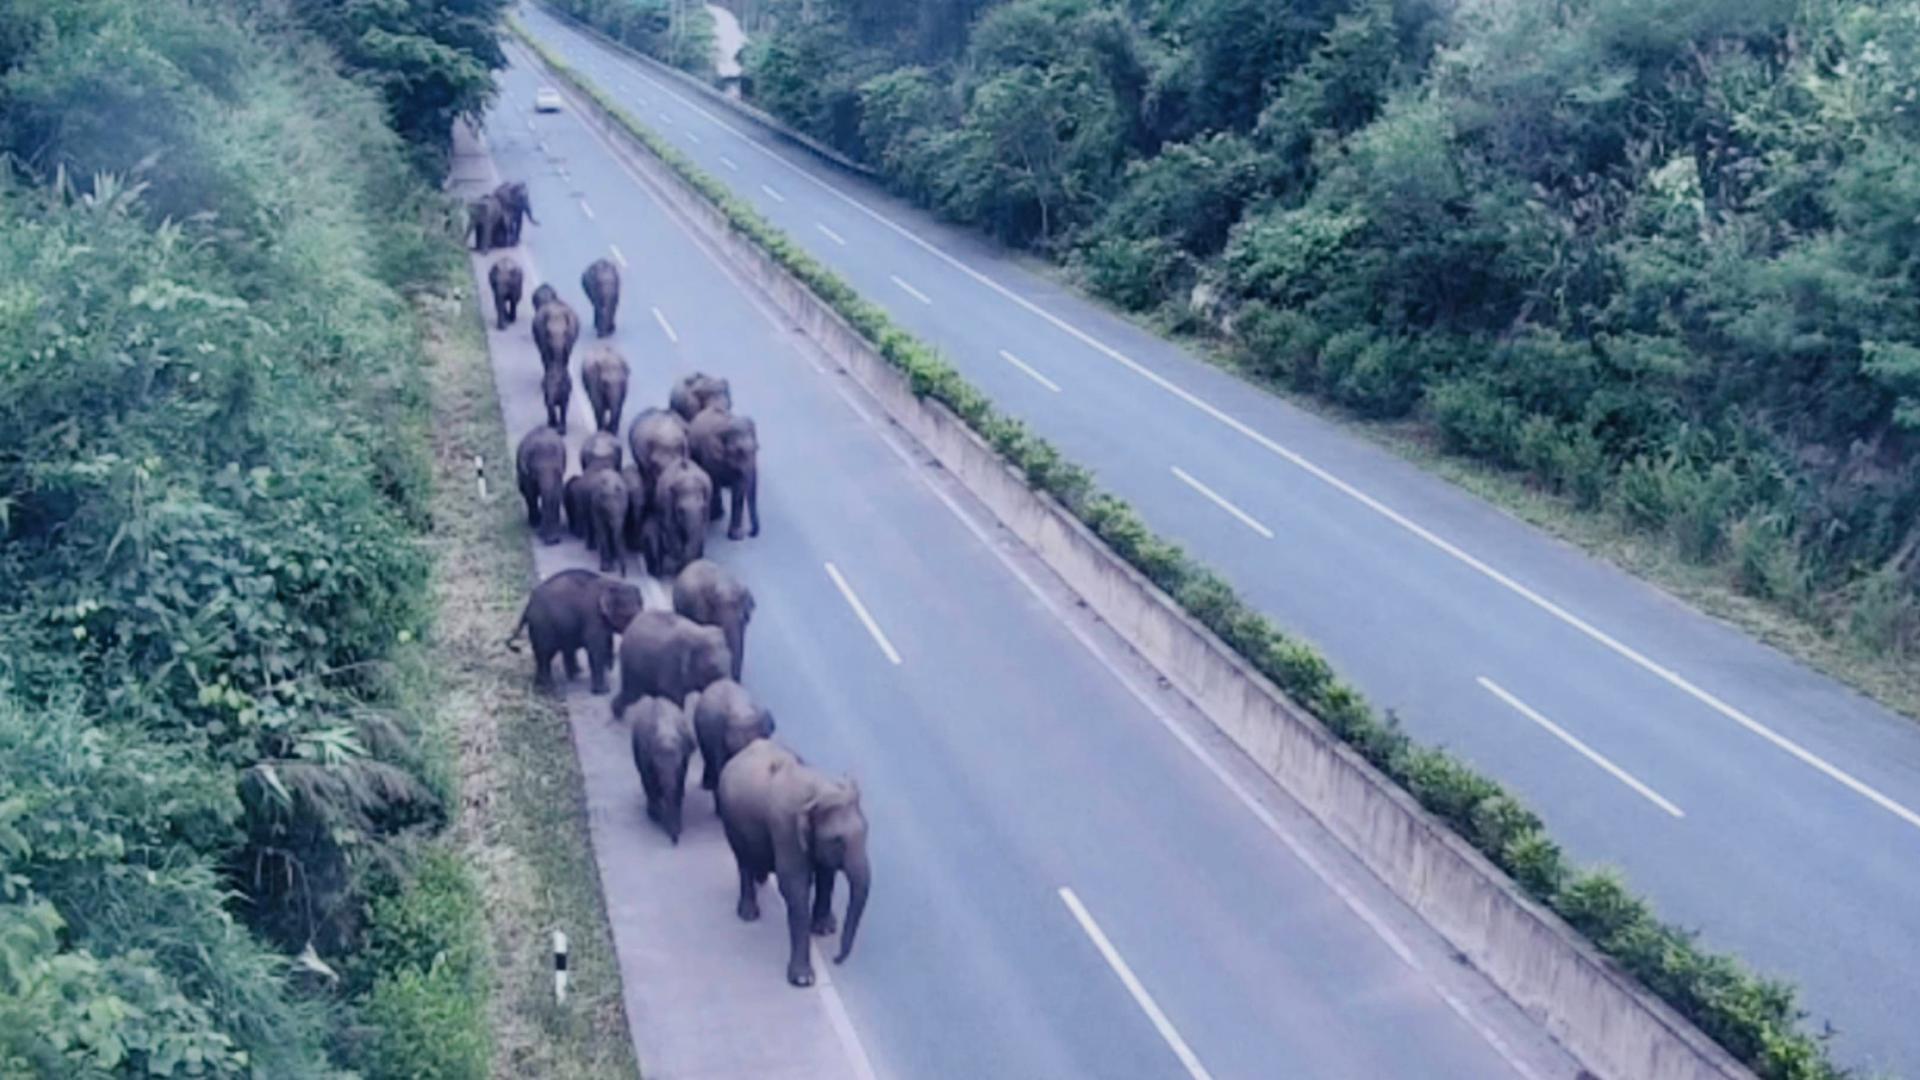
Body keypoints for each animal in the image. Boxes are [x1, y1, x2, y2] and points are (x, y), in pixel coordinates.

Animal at [505, 568, 643, 694]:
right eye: (628, 616)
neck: (613, 584)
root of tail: (528, 606)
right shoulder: (593, 617)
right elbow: (597, 650)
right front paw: (603, 691)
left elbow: (606, 641)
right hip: (542, 626)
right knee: (545, 655)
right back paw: (548, 688)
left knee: (544, 655)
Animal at [625, 696, 695, 844]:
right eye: (657, 768)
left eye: (678, 767)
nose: (675, 840)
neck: (666, 734)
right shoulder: (645, 754)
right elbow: (648, 779)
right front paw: (656, 816)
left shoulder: (684, 759)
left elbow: (678, 783)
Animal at [689, 408, 760, 540]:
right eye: (739, 451)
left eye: (757, 448)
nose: (750, 533)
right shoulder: (709, 455)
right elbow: (713, 479)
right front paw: (715, 517)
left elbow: (738, 490)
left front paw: (736, 536)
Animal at [717, 740, 870, 988]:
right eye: (838, 840)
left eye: (866, 831)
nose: (836, 959)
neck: (818, 789)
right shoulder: (785, 828)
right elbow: (794, 886)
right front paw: (802, 979)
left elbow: (826, 874)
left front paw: (824, 929)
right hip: (730, 821)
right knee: (743, 860)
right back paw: (748, 913)